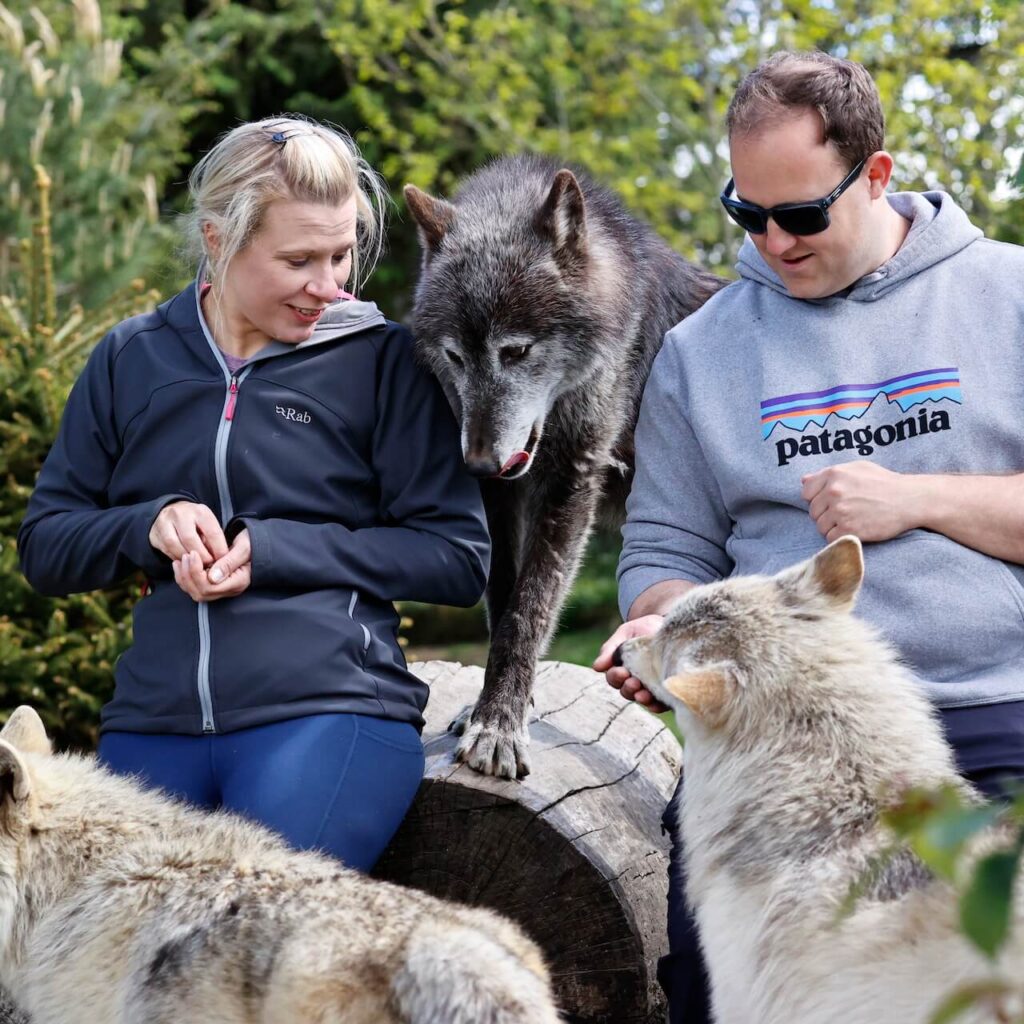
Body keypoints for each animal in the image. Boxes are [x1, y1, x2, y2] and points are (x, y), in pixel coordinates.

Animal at [405, 154, 725, 779]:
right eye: (455, 356)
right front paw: (494, 710)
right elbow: (503, 604)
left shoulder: (572, 483)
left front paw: (499, 727)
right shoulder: (501, 499)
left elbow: (529, 611)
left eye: (515, 352)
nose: (478, 462)